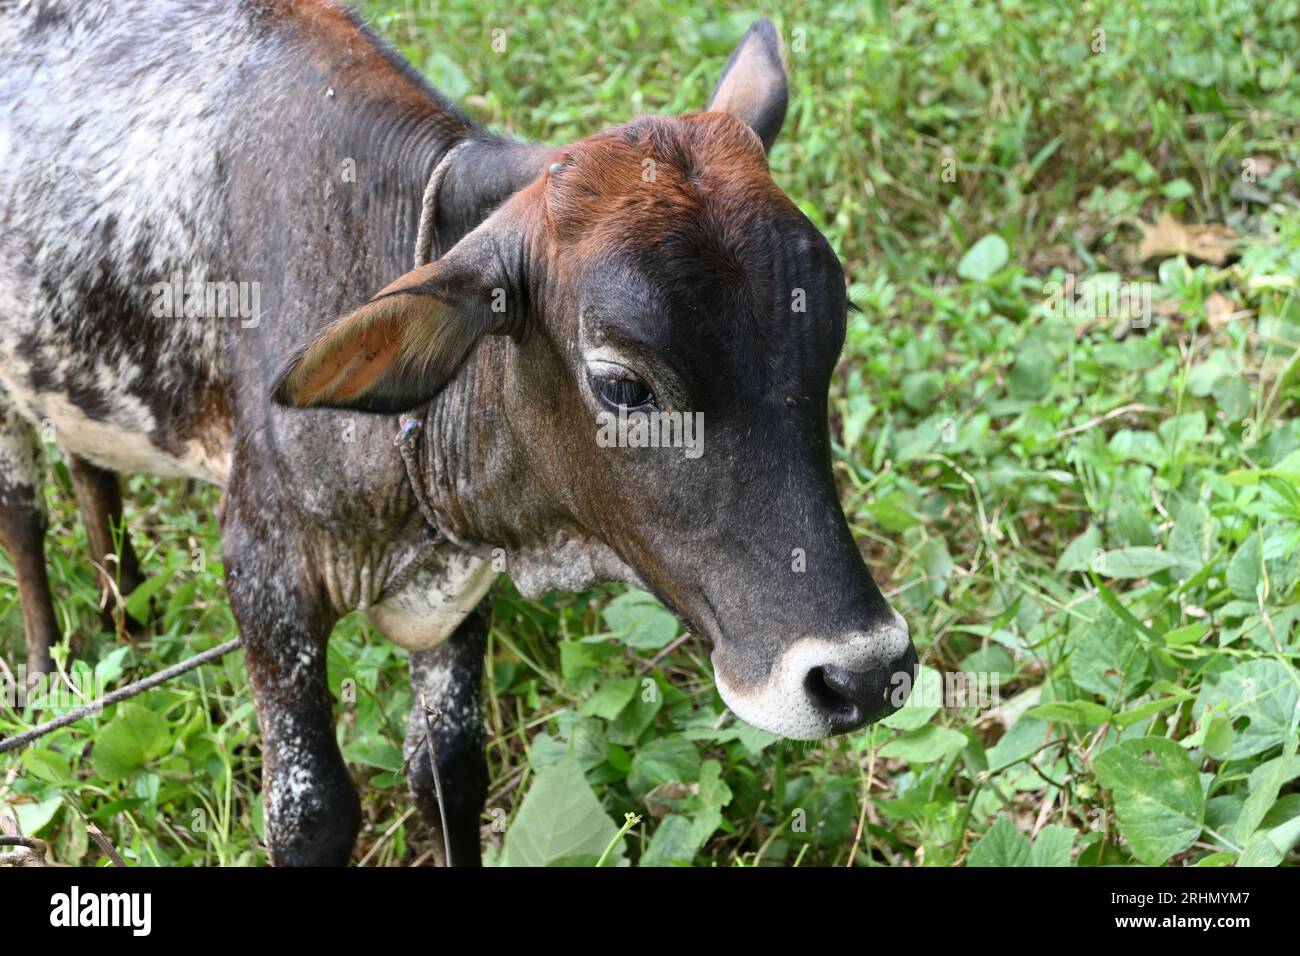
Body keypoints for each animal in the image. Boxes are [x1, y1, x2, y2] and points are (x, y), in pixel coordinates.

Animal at [0, 0, 917, 865]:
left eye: (832, 332)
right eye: (623, 386)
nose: (866, 676)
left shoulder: (458, 586)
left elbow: (446, 768)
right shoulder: (263, 569)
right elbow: (311, 812)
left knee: (89, 466)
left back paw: (125, 618)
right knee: (25, 512)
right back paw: (45, 674)